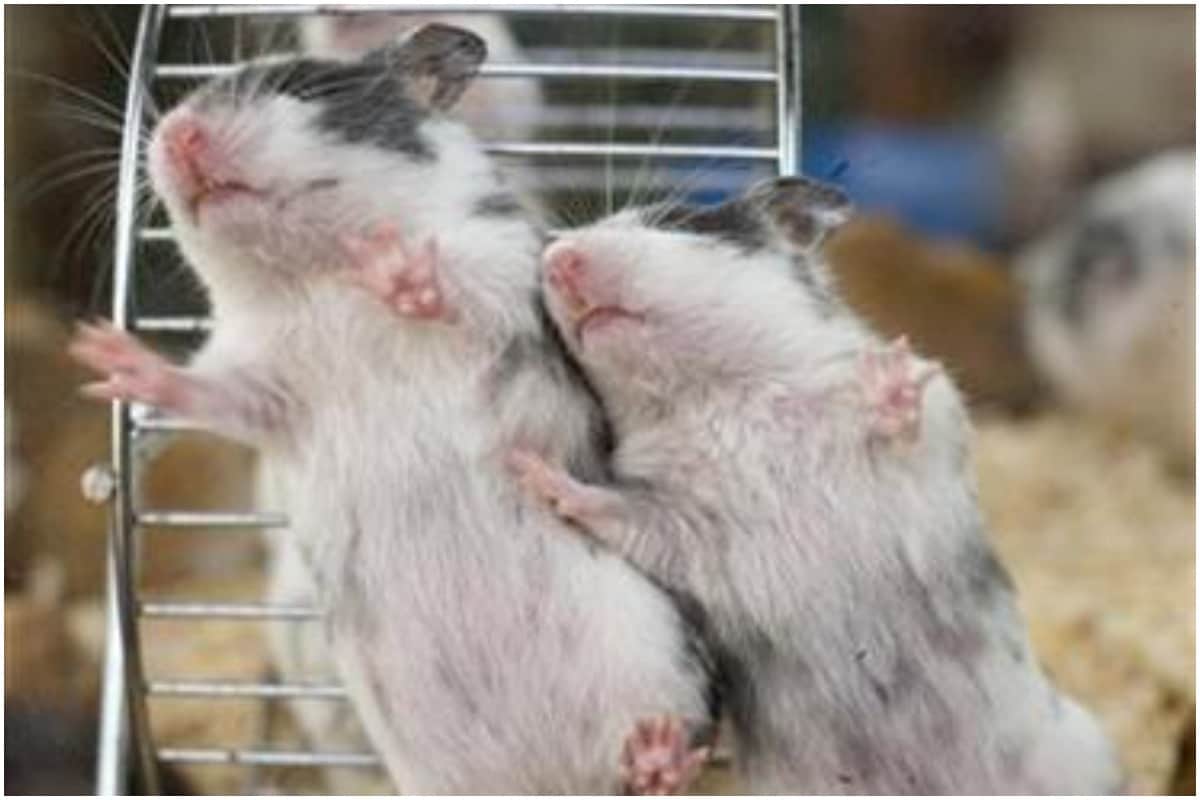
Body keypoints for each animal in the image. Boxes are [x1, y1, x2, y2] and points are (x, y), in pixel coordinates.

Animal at [70, 25, 716, 794]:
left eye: (303, 87)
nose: (175, 134)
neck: (309, 277)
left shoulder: (508, 290)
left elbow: (455, 293)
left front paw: (395, 269)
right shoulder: (261, 383)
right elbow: (201, 390)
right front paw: (105, 357)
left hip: (653, 651)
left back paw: (657, 758)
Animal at [509, 177, 1124, 793]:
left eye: (676, 221)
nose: (556, 258)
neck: (714, 397)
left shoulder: (935, 435)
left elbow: (906, 417)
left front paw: (888, 378)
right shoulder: (678, 522)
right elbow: (614, 510)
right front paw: (529, 466)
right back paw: (654, 755)